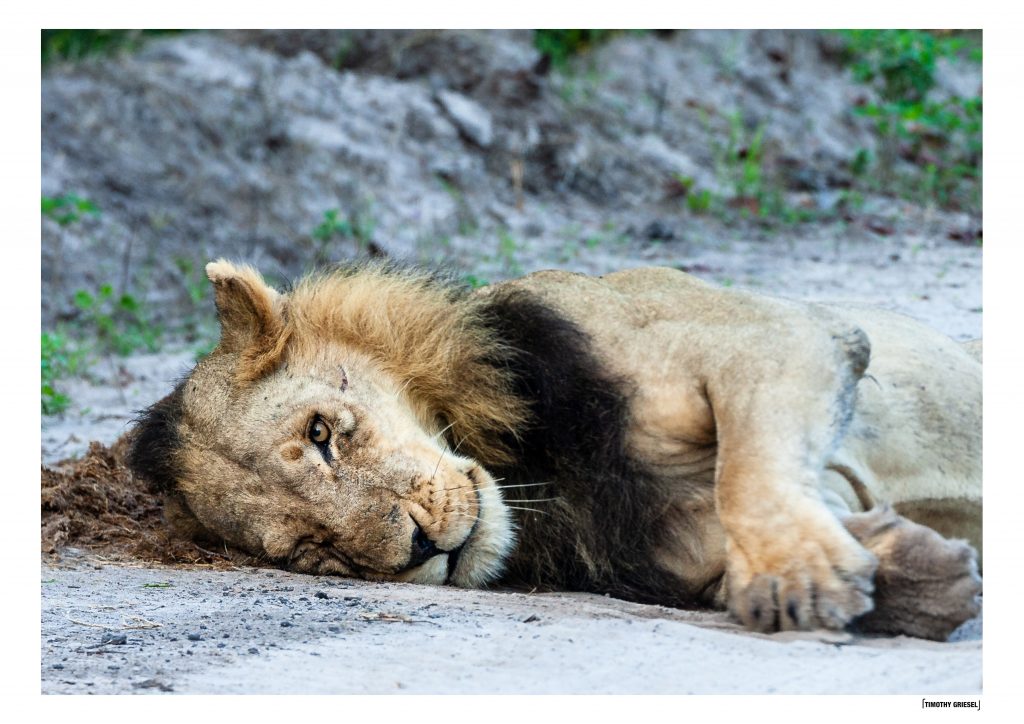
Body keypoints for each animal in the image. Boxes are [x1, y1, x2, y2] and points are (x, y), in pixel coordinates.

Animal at [128, 260, 981, 640]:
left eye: (321, 435)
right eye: (310, 549)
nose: (419, 549)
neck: (531, 475)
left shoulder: (775, 336)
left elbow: (749, 475)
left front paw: (804, 574)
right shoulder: (677, 548)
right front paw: (918, 572)